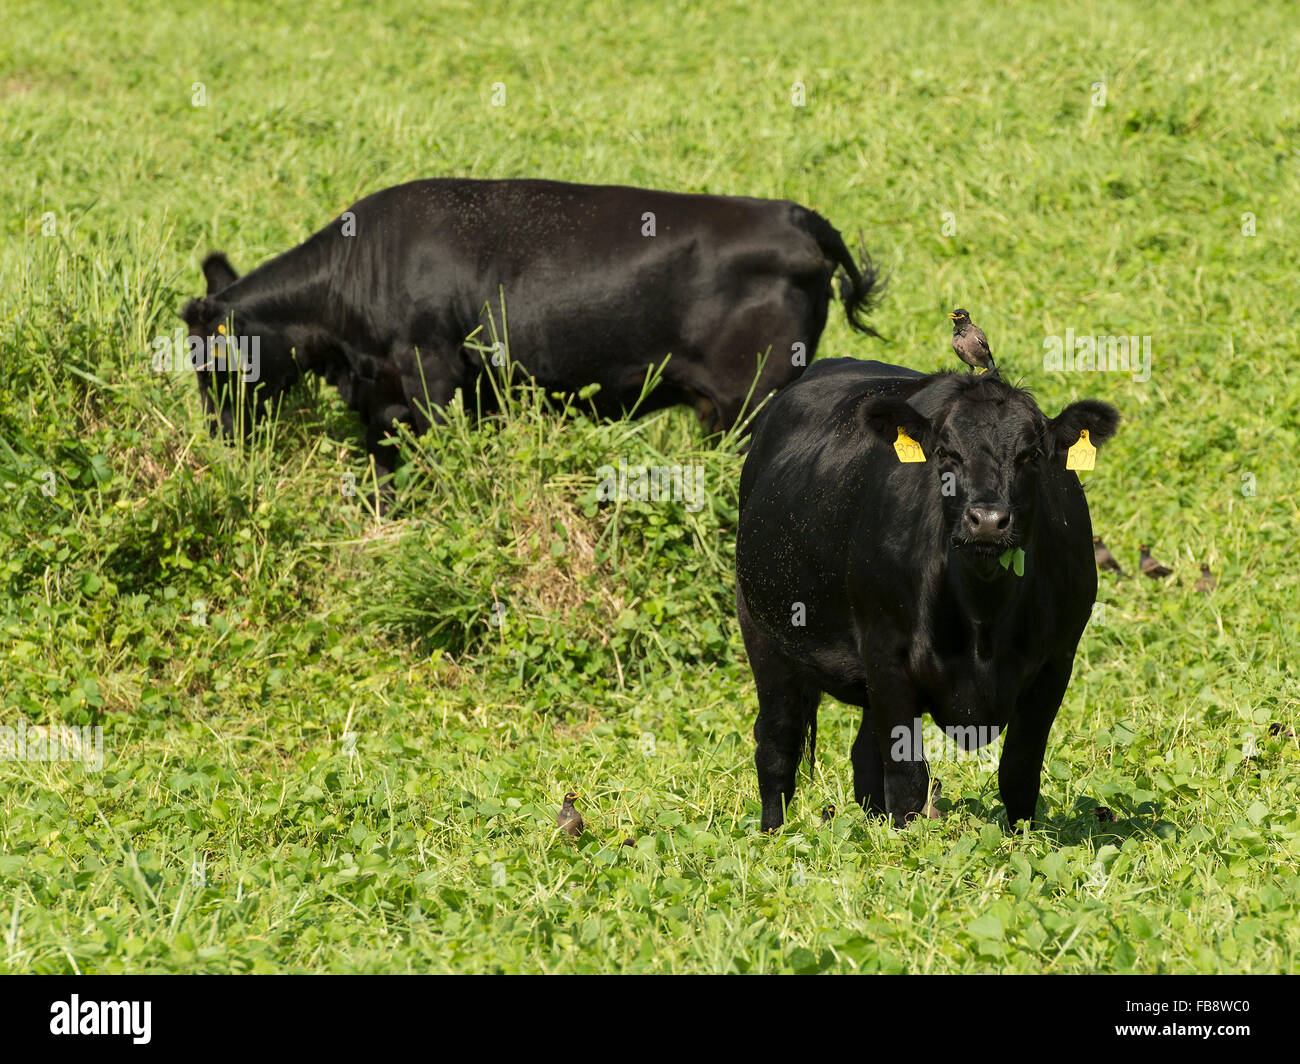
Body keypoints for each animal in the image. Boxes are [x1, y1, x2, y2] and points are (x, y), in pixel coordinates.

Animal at [181, 178, 884, 487]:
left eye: (213, 362)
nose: (218, 439)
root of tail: (797, 215)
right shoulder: (383, 398)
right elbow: (383, 476)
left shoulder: (431, 374)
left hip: (750, 403)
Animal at [735, 358, 1120, 832]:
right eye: (946, 453)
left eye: (1031, 455)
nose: (987, 520)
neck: (983, 619)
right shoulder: (887, 654)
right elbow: (908, 777)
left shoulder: (1055, 662)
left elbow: (1020, 770)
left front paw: (1020, 840)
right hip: (762, 631)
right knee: (777, 742)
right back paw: (774, 834)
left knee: (863, 756)